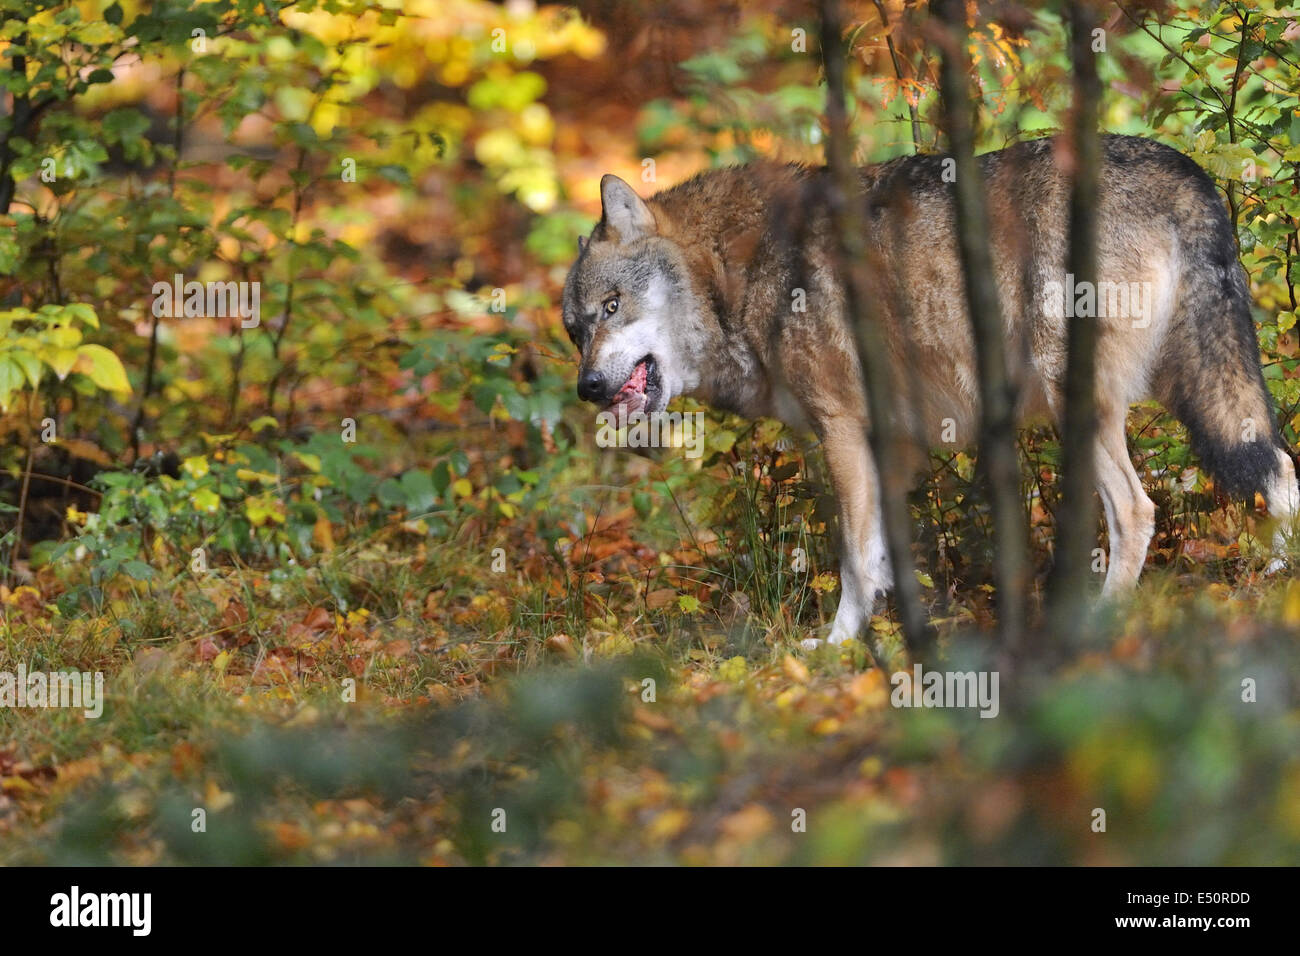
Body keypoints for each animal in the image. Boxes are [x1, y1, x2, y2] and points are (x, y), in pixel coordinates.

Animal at [561, 135, 1299, 647]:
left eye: (612, 307)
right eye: (574, 330)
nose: (587, 388)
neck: (736, 271)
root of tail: (1183, 169)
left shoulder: (844, 430)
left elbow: (853, 560)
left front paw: (836, 647)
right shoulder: (894, 445)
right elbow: (879, 556)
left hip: (1083, 404)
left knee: (1137, 510)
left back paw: (1098, 623)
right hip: (1195, 386)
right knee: (1281, 466)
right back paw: (1278, 580)